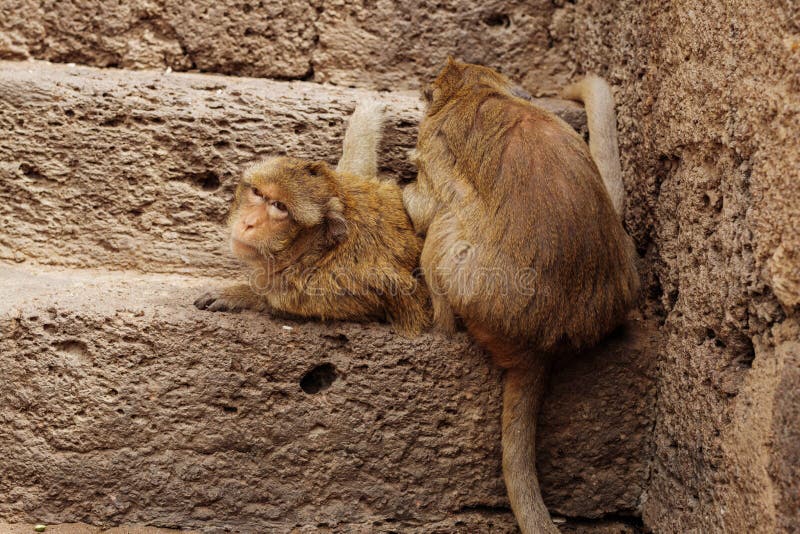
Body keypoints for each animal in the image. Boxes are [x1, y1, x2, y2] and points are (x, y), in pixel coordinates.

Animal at [195, 100, 431, 336]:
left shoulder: (327, 288)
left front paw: (241, 295)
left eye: (279, 207)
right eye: (258, 193)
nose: (248, 223)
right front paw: (367, 115)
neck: (317, 252)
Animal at [403, 59, 639, 534]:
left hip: (470, 286)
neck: (479, 91)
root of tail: (542, 343)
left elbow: (424, 205)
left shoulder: (434, 142)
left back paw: (441, 326)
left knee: (444, 226)